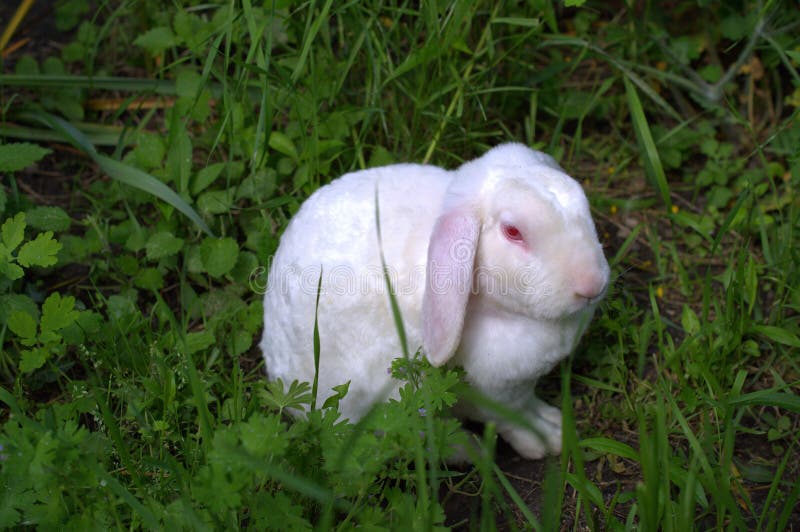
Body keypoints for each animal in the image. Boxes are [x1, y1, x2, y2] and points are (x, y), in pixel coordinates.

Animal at [260, 143, 610, 459]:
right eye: (513, 232)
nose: (592, 284)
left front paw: (554, 422)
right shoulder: (497, 392)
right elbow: (512, 418)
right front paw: (547, 439)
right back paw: (472, 451)